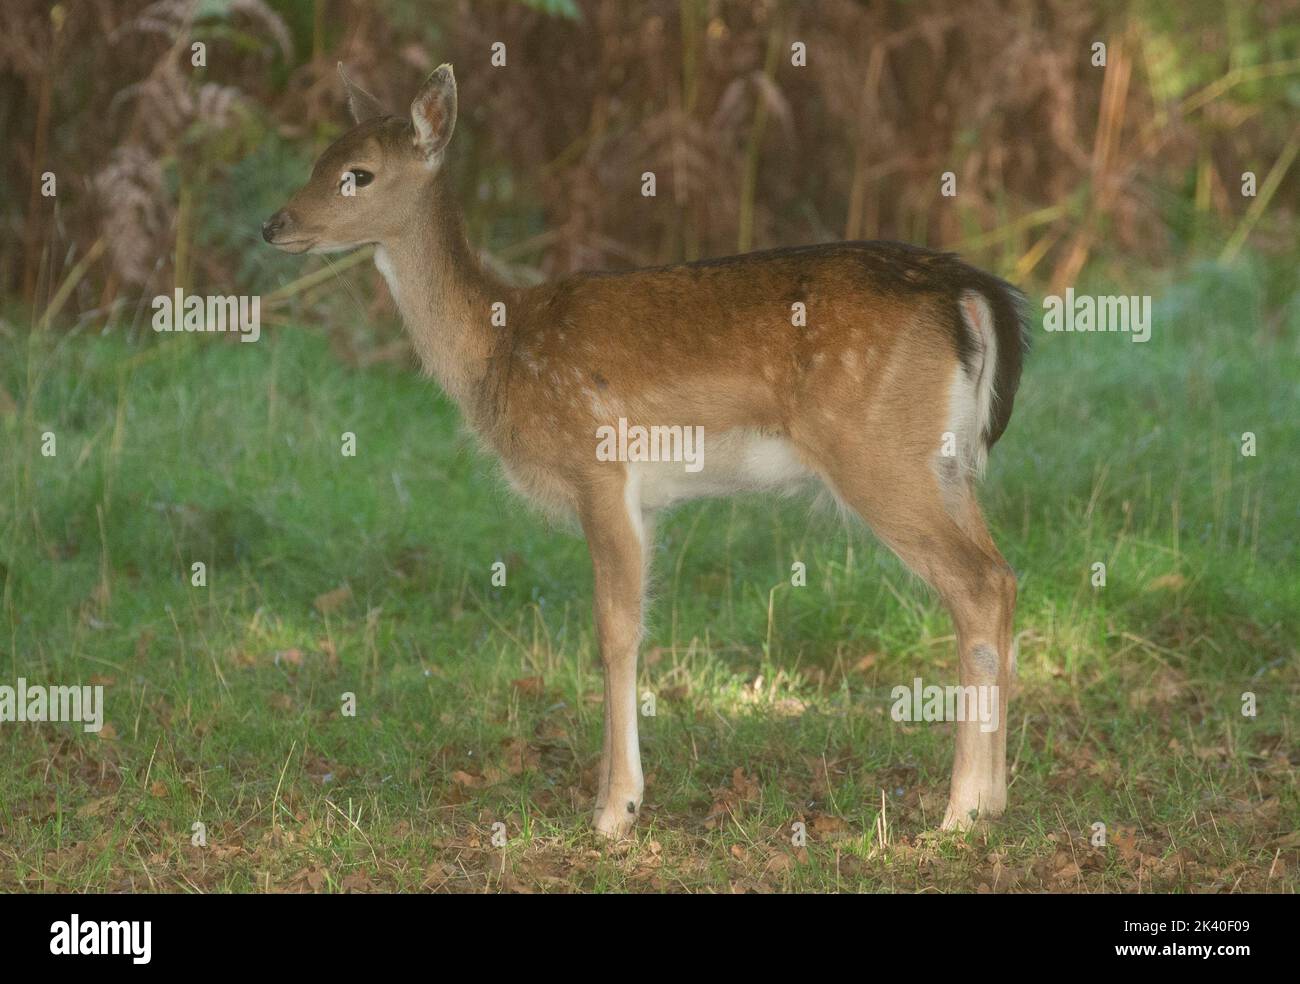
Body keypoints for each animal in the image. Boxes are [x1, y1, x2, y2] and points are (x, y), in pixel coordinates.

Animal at [263, 64, 1029, 839]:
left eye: (358, 174)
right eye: (319, 158)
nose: (275, 225)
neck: (498, 349)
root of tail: (971, 294)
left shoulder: (598, 464)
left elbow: (615, 632)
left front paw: (615, 811)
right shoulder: (647, 500)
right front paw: (609, 796)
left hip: (876, 452)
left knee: (976, 585)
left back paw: (960, 811)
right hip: (947, 466)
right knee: (1002, 577)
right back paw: (993, 798)